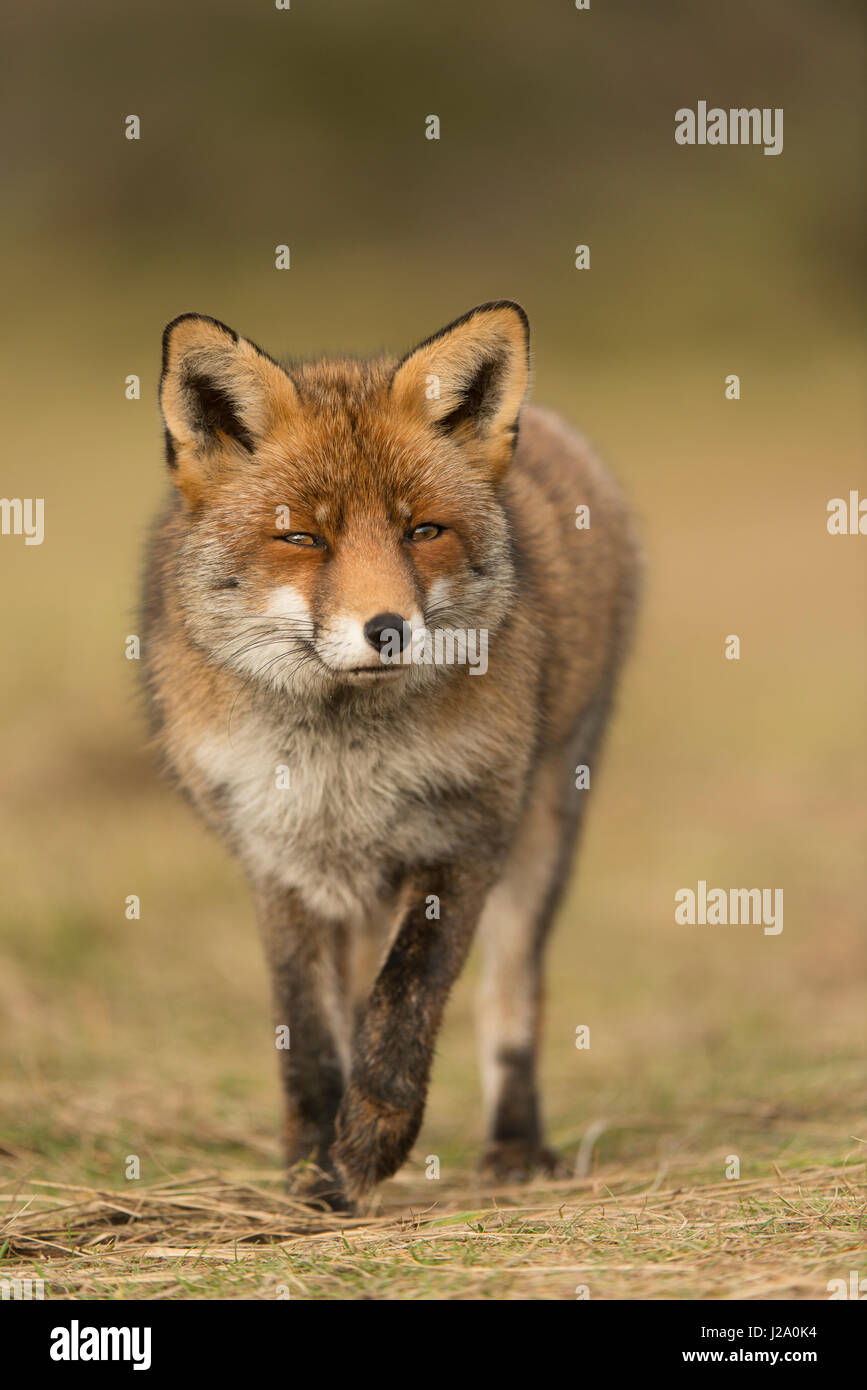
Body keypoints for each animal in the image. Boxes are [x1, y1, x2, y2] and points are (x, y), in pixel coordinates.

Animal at [141, 301, 638, 1210]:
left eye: (422, 531)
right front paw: (314, 1174)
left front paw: (371, 1140)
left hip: (545, 832)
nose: (388, 629)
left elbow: (406, 999)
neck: (341, 766)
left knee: (512, 998)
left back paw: (515, 1145)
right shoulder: (278, 863)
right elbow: (306, 1035)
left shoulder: (467, 839)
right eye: (303, 537)